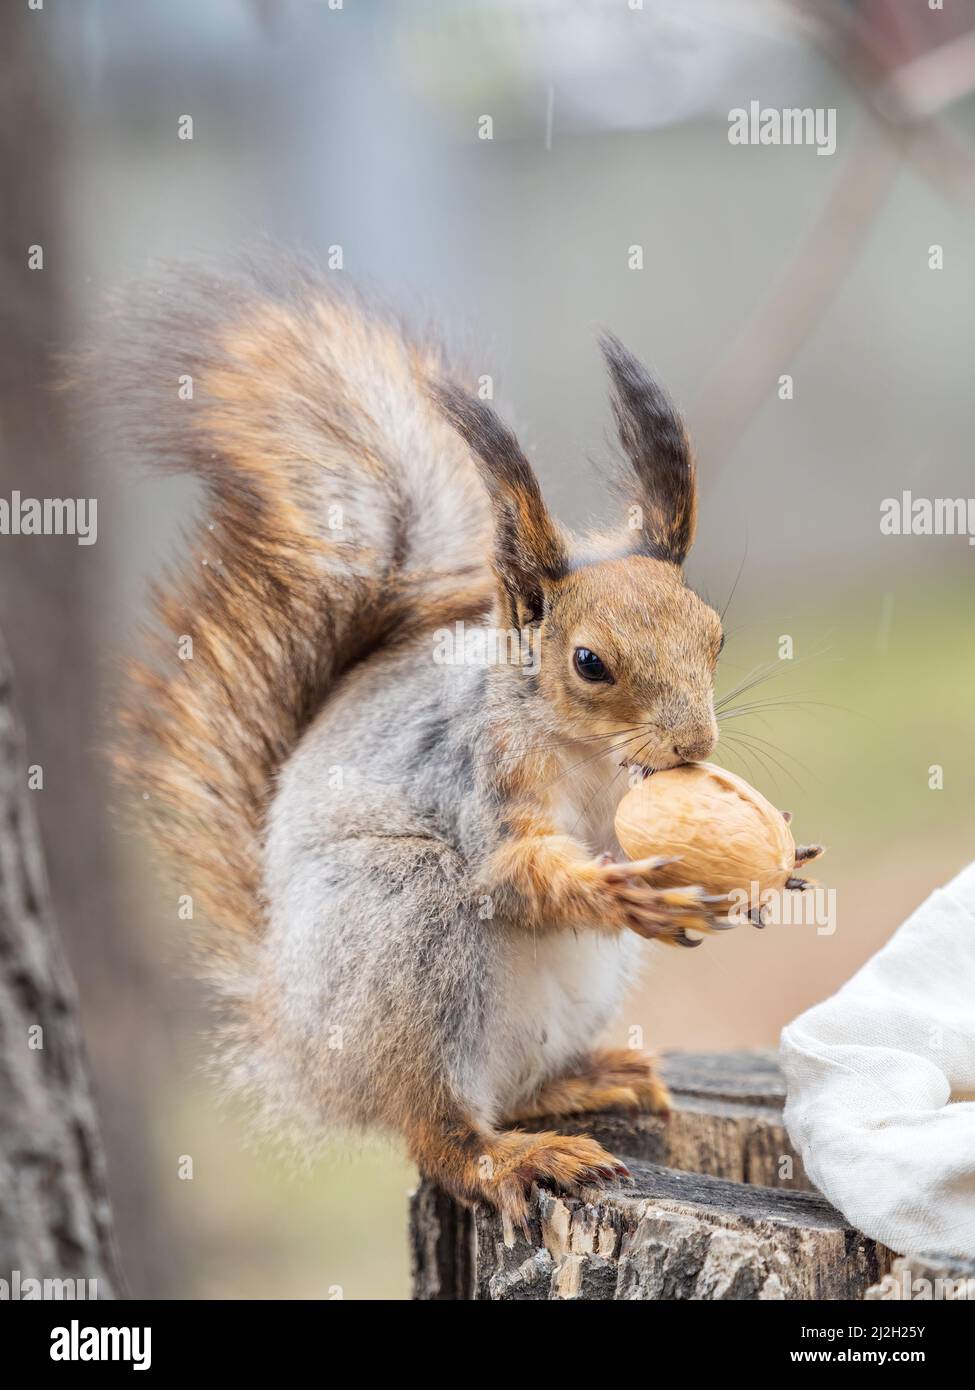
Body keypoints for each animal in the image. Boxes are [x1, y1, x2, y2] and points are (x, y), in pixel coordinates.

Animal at [111, 259, 728, 1226]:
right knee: (437, 1133)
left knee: (508, 1090)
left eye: (715, 637)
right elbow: (513, 874)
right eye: (590, 663)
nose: (693, 745)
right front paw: (611, 889)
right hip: (402, 926)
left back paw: (586, 1083)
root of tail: (298, 1052)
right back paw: (512, 1158)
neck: (584, 757)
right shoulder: (485, 775)